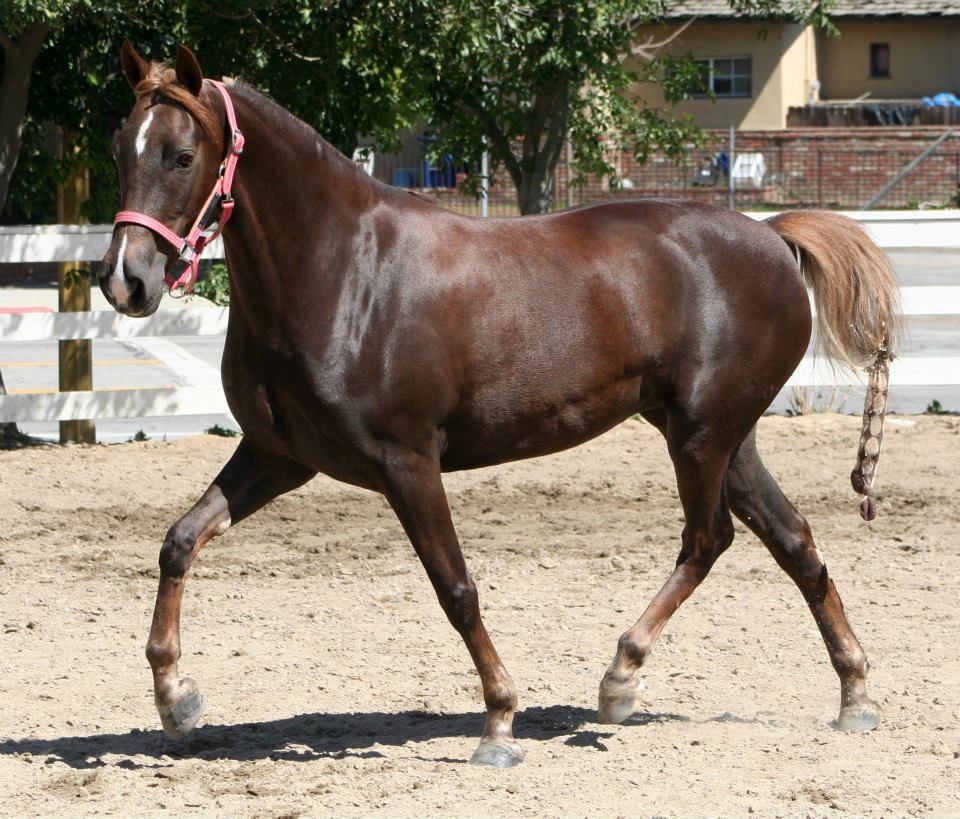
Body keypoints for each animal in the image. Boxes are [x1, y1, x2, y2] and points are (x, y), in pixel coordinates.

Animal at [99, 41, 900, 768]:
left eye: (181, 155)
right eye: (119, 148)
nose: (125, 280)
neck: (342, 270)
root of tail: (771, 236)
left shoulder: (407, 462)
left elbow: (455, 587)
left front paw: (500, 722)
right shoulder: (278, 456)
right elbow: (179, 540)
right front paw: (176, 699)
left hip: (702, 436)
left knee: (708, 541)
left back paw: (620, 680)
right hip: (722, 436)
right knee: (792, 541)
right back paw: (854, 696)